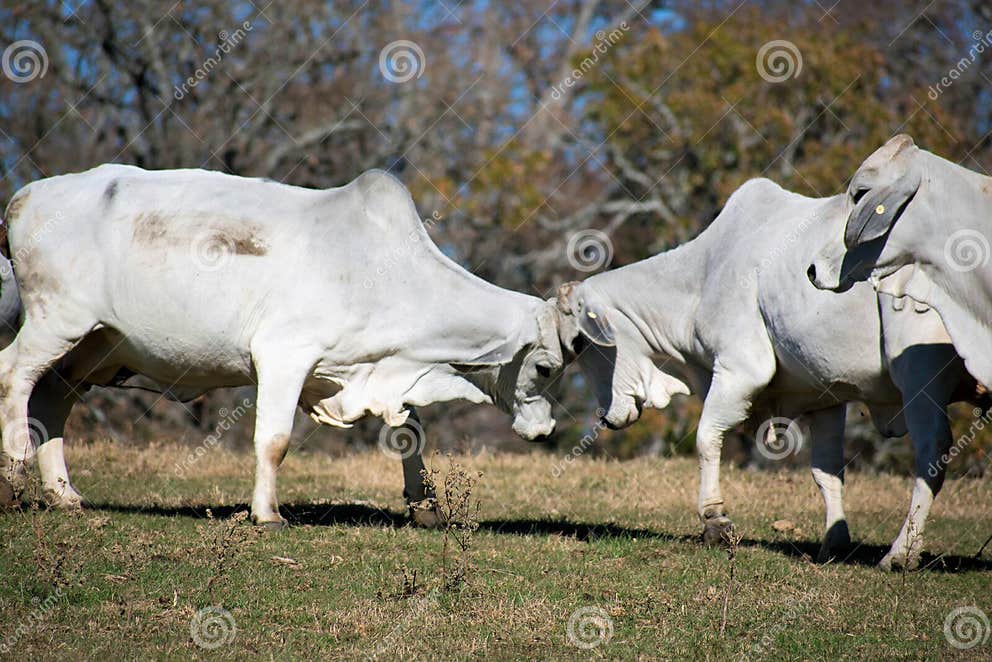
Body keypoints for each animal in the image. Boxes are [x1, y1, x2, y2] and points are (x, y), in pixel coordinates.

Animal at [0, 164, 585, 528]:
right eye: (545, 367)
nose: (546, 430)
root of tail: (27, 196)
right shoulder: (283, 356)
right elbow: (274, 441)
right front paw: (267, 514)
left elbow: (411, 436)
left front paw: (424, 509)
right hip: (57, 322)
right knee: (14, 377)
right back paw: (13, 479)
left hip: (94, 345)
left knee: (51, 398)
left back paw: (65, 495)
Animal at [552, 177, 984, 569]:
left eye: (581, 343)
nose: (606, 417)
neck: (700, 278)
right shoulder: (827, 396)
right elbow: (826, 472)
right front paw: (833, 544)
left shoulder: (740, 369)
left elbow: (706, 437)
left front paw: (715, 521)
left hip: (919, 375)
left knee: (932, 450)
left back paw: (900, 554)